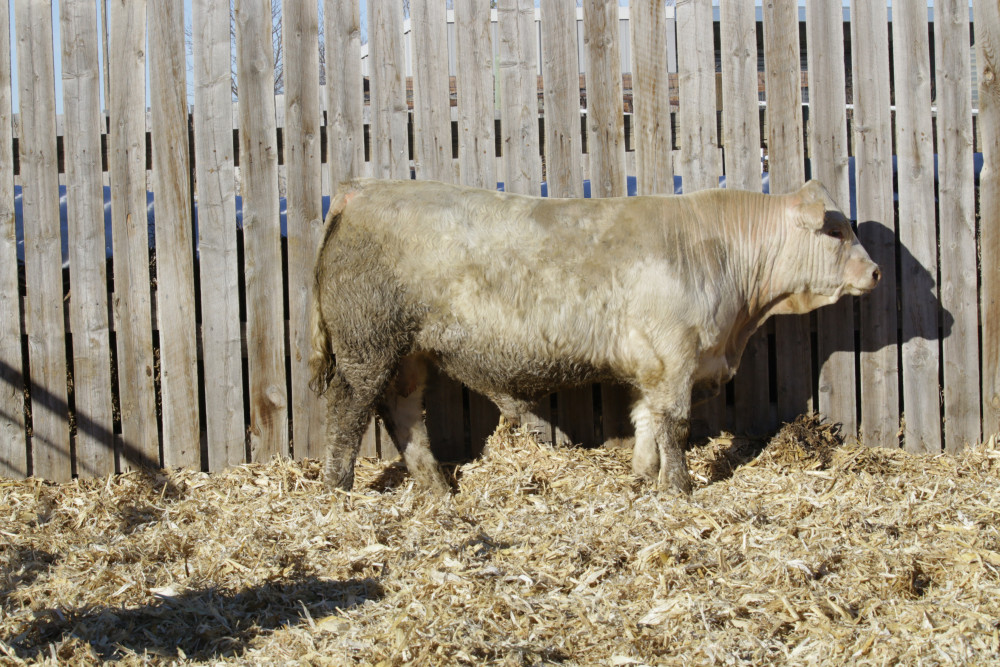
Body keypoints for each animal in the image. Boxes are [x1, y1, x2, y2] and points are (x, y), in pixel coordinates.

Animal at [309, 178, 880, 495]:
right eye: (836, 231)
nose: (875, 272)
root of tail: (360, 188)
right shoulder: (677, 354)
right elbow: (675, 423)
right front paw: (680, 486)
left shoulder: (655, 363)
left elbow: (647, 420)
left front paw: (643, 478)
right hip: (367, 343)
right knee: (348, 409)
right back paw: (339, 486)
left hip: (406, 352)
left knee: (403, 411)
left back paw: (434, 487)